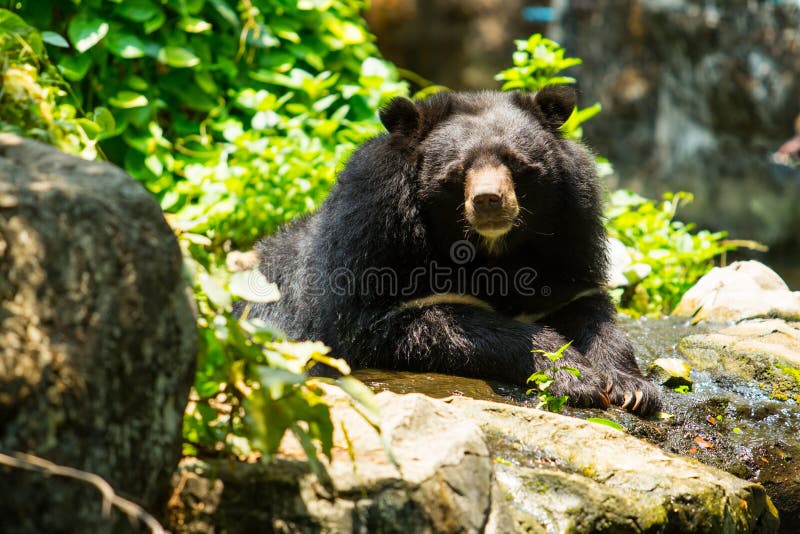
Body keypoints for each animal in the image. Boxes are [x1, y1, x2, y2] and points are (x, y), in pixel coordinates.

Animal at [242, 87, 661, 414]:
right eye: (458, 171)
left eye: (515, 163)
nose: (489, 200)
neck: (488, 248)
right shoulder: (375, 239)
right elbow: (399, 322)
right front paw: (573, 374)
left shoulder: (569, 233)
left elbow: (585, 306)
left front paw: (631, 388)